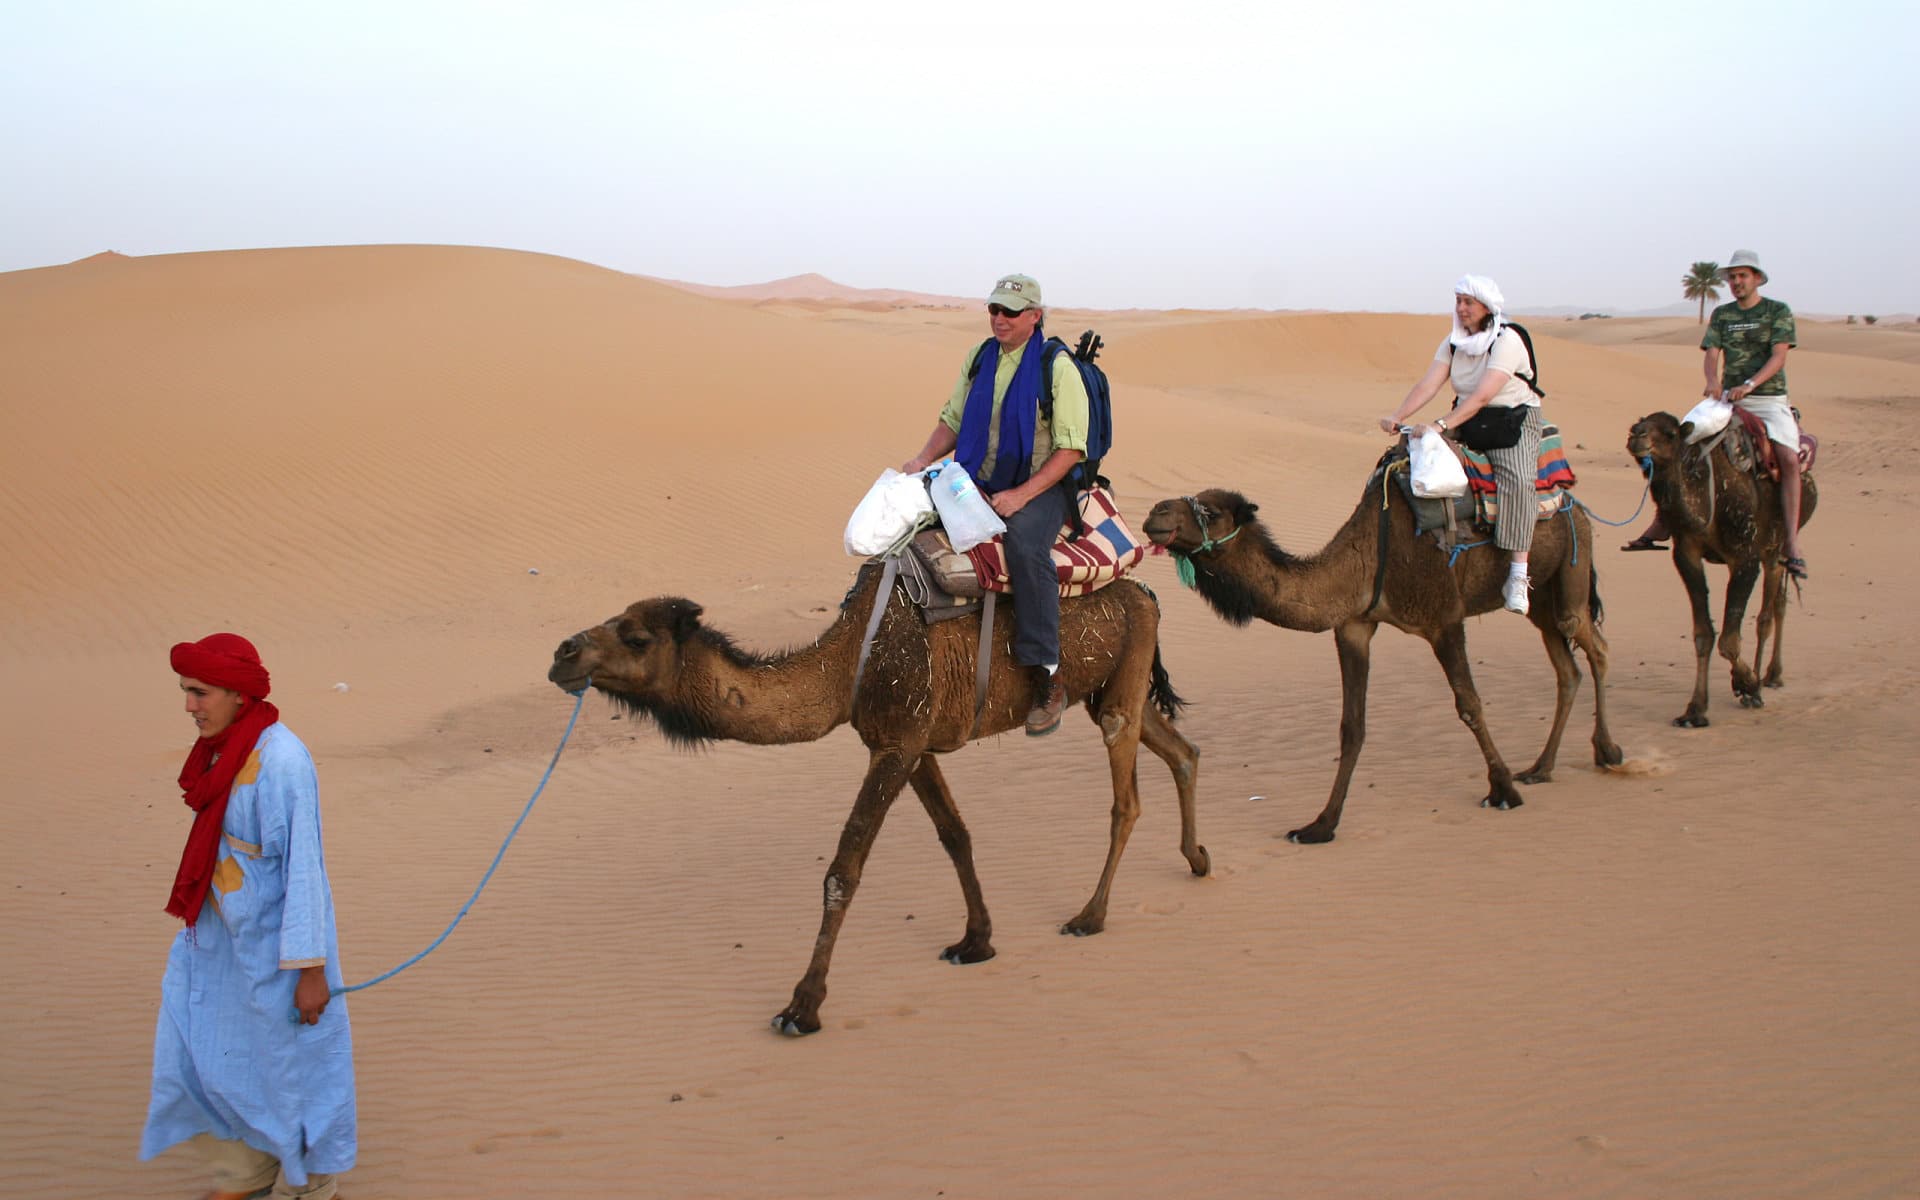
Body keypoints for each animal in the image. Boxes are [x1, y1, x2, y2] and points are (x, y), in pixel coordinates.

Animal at [547, 561, 1210, 1036]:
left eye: (635, 637)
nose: (562, 653)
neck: (847, 668)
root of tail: (1147, 592)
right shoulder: (909, 744)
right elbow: (955, 835)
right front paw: (976, 941)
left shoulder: (897, 743)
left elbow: (844, 869)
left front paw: (802, 1006)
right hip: (1107, 683)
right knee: (1182, 750)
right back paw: (1197, 859)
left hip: (1121, 678)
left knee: (1126, 799)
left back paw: (1089, 916)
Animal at [1142, 468, 1621, 844]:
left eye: (1211, 512)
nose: (1155, 514)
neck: (1368, 562)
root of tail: (1574, 503)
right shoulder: (1354, 626)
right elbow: (1351, 727)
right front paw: (1320, 826)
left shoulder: (1444, 619)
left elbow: (1469, 705)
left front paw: (1503, 791)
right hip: (1540, 598)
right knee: (1567, 668)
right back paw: (1541, 767)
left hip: (1572, 568)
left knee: (1594, 646)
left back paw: (1608, 752)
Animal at [1625, 411, 1819, 727]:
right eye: (1635, 426)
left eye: (1669, 433)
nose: (1636, 436)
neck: (1709, 501)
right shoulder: (1686, 554)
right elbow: (1703, 634)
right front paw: (1694, 710)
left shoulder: (1745, 558)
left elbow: (1730, 639)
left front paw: (1747, 684)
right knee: (1777, 605)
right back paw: (1770, 675)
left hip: (1776, 546)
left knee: (1769, 613)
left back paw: (1766, 679)